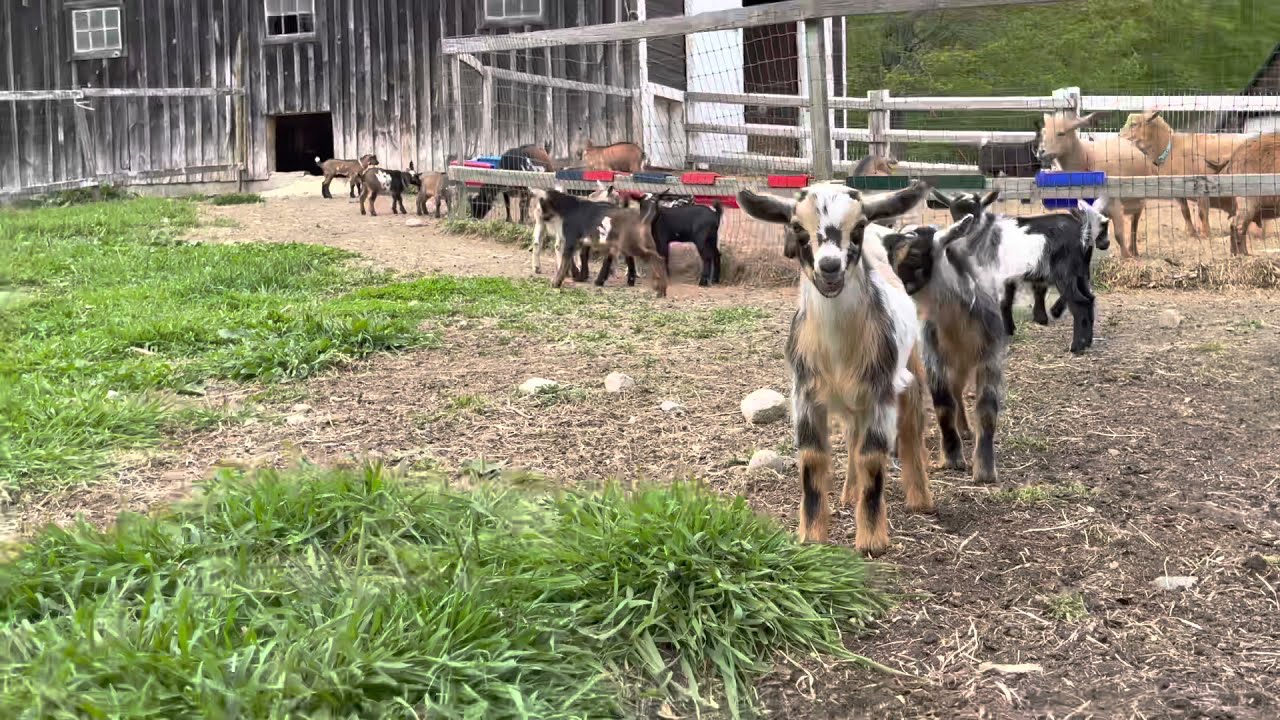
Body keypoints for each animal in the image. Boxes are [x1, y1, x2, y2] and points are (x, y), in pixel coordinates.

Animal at [536, 189, 668, 298]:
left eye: (542, 205)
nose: (542, 217)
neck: (570, 208)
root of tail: (643, 220)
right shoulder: (580, 243)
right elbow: (577, 259)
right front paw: (578, 276)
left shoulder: (571, 241)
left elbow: (566, 262)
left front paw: (556, 282)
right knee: (652, 258)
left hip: (631, 245)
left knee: (656, 258)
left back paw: (660, 289)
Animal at [736, 181, 934, 555]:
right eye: (797, 227)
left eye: (858, 225)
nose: (829, 266)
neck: (838, 349)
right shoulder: (805, 393)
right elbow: (813, 459)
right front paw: (812, 537)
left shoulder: (880, 392)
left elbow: (872, 457)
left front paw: (871, 540)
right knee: (853, 437)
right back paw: (849, 494)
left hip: (910, 370)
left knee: (911, 430)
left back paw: (921, 499)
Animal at [881, 215, 1007, 484]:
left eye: (915, 253)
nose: (886, 239)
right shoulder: (932, 355)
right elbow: (943, 404)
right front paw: (952, 458)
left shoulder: (990, 355)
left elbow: (986, 409)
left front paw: (984, 470)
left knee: (958, 391)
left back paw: (966, 430)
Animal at [927, 189, 1106, 354]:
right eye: (954, 212)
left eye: (976, 212)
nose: (963, 229)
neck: (985, 233)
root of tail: (1083, 231)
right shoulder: (1008, 276)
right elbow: (1007, 301)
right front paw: (1010, 330)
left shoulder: (996, 276)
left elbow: (1000, 302)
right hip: (1081, 272)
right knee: (1089, 299)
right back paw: (1088, 342)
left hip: (1065, 273)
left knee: (1080, 303)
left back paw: (1076, 346)